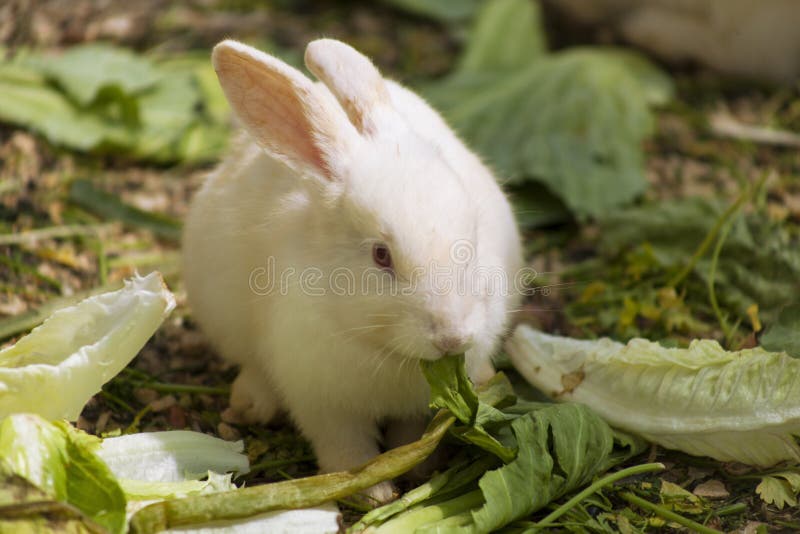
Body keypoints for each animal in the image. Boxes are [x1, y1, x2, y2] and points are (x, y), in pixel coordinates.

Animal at [182, 39, 523, 502]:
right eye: (381, 255)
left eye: (470, 234)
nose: (452, 338)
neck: (386, 350)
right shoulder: (322, 402)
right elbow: (347, 448)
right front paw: (370, 490)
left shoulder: (414, 407)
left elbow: (408, 433)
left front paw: (418, 466)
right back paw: (250, 403)